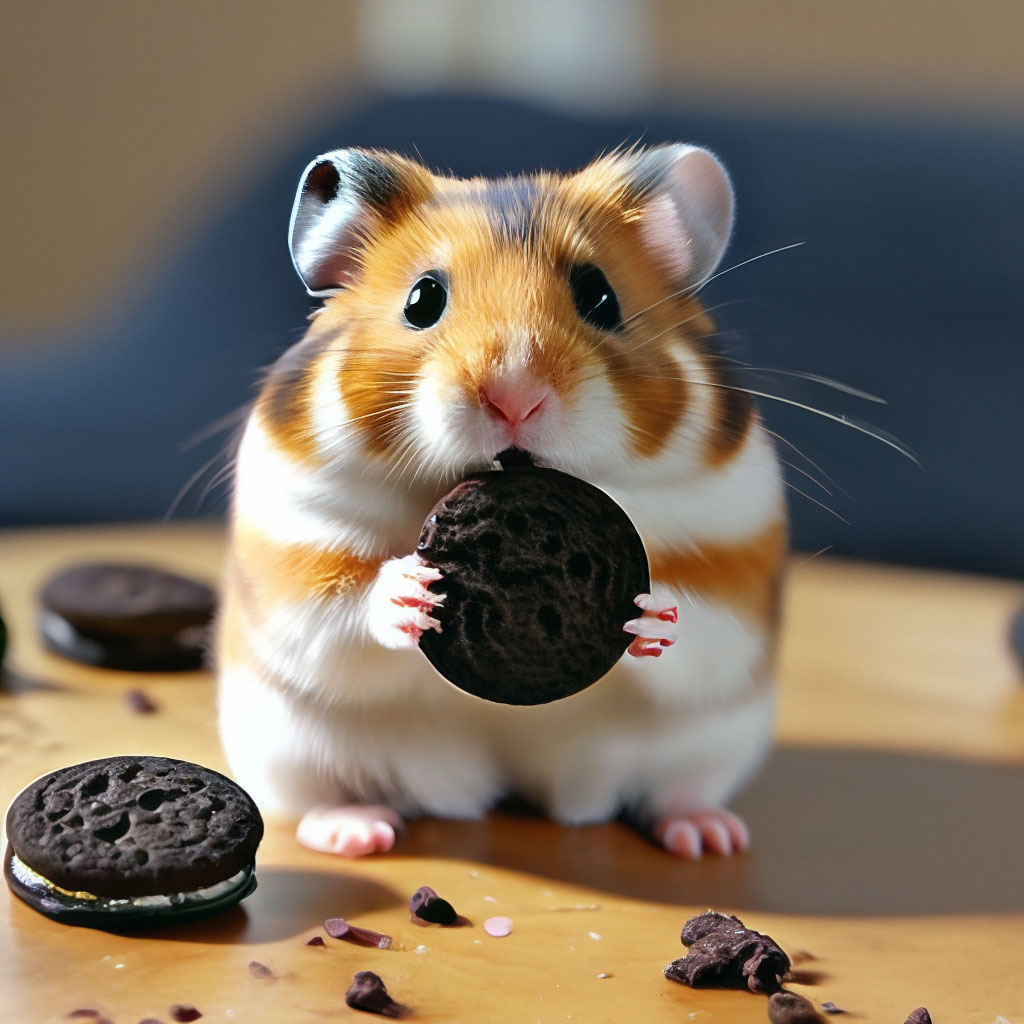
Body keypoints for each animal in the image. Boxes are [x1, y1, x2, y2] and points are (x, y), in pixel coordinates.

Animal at [216, 144, 787, 859]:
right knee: (324, 796)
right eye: (422, 299)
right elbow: (340, 610)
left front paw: (650, 616)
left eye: (600, 296)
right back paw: (358, 832)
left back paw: (708, 837)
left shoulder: (734, 561)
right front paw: (412, 590)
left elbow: (704, 628)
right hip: (286, 746)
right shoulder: (298, 547)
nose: (515, 395)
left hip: (712, 745)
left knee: (675, 793)